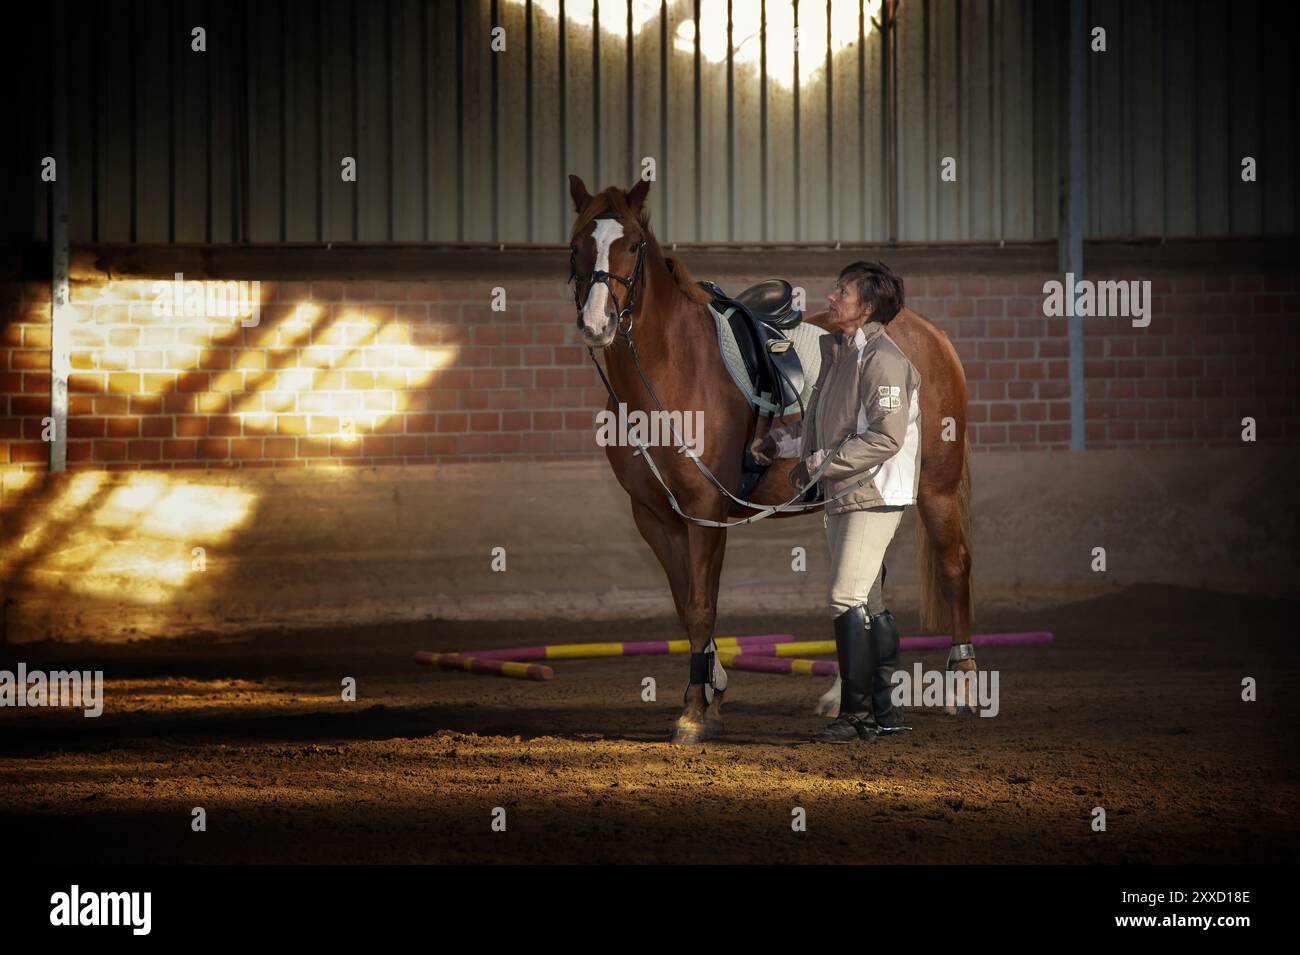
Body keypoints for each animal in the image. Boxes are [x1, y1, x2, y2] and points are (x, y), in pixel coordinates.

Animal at [567, 175, 974, 744]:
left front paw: (692, 713)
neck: (670, 370)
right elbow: (685, 604)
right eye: (578, 244)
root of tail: (930, 334)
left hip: (937, 491)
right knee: (866, 588)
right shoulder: (655, 517)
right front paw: (712, 691)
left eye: (632, 245)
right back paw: (841, 698)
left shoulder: (705, 511)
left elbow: (701, 606)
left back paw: (962, 689)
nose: (597, 322)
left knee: (955, 566)